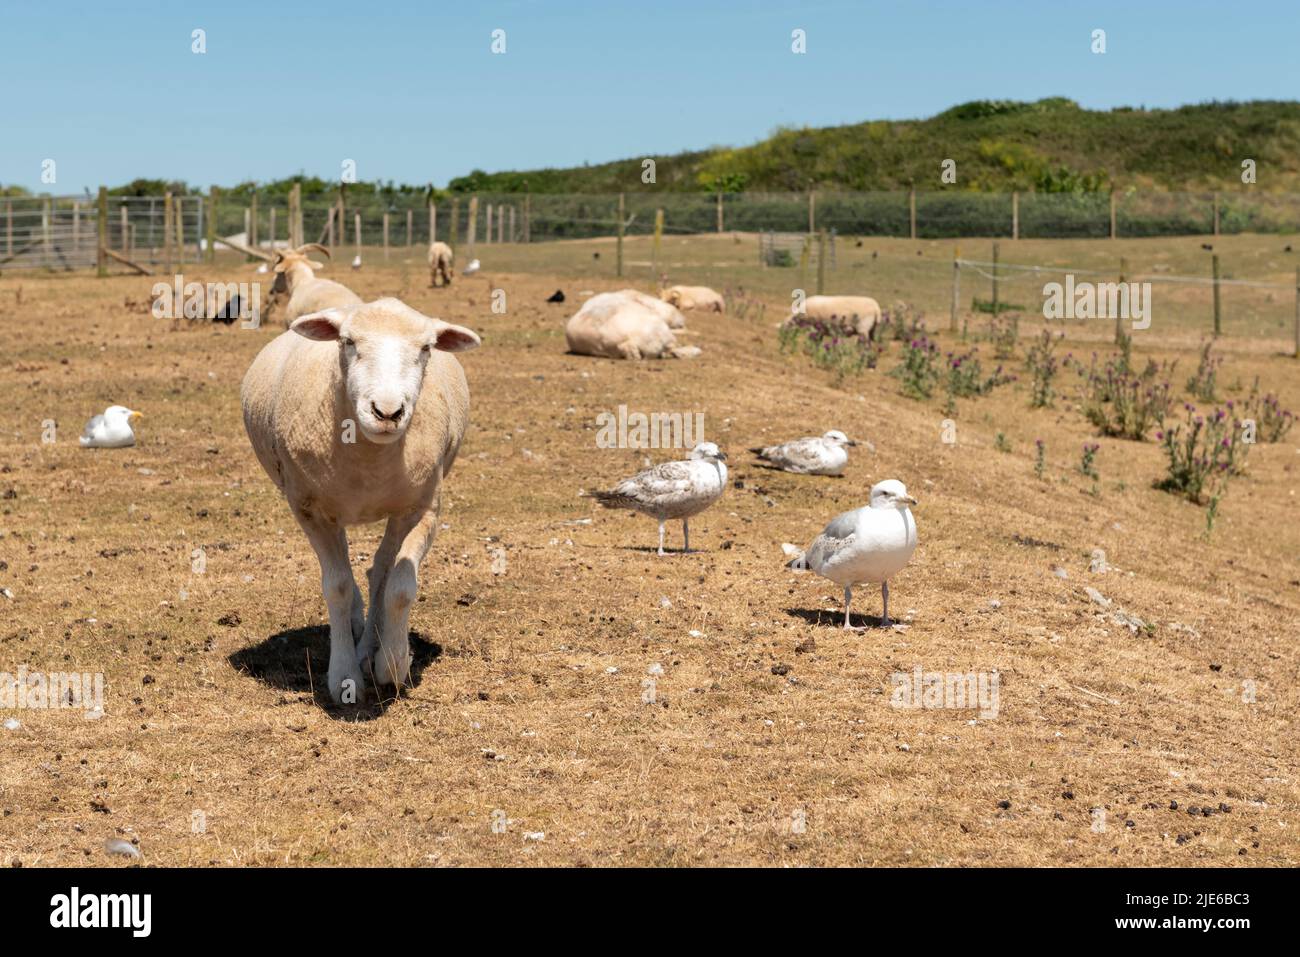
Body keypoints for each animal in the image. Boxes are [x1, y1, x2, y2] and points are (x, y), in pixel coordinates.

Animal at [240, 297, 481, 703]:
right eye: (348, 342)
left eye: (426, 348)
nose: (387, 412)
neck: (371, 461)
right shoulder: (310, 509)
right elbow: (336, 586)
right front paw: (344, 676)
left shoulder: (423, 508)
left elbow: (399, 585)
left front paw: (393, 664)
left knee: (380, 571)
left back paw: (370, 647)